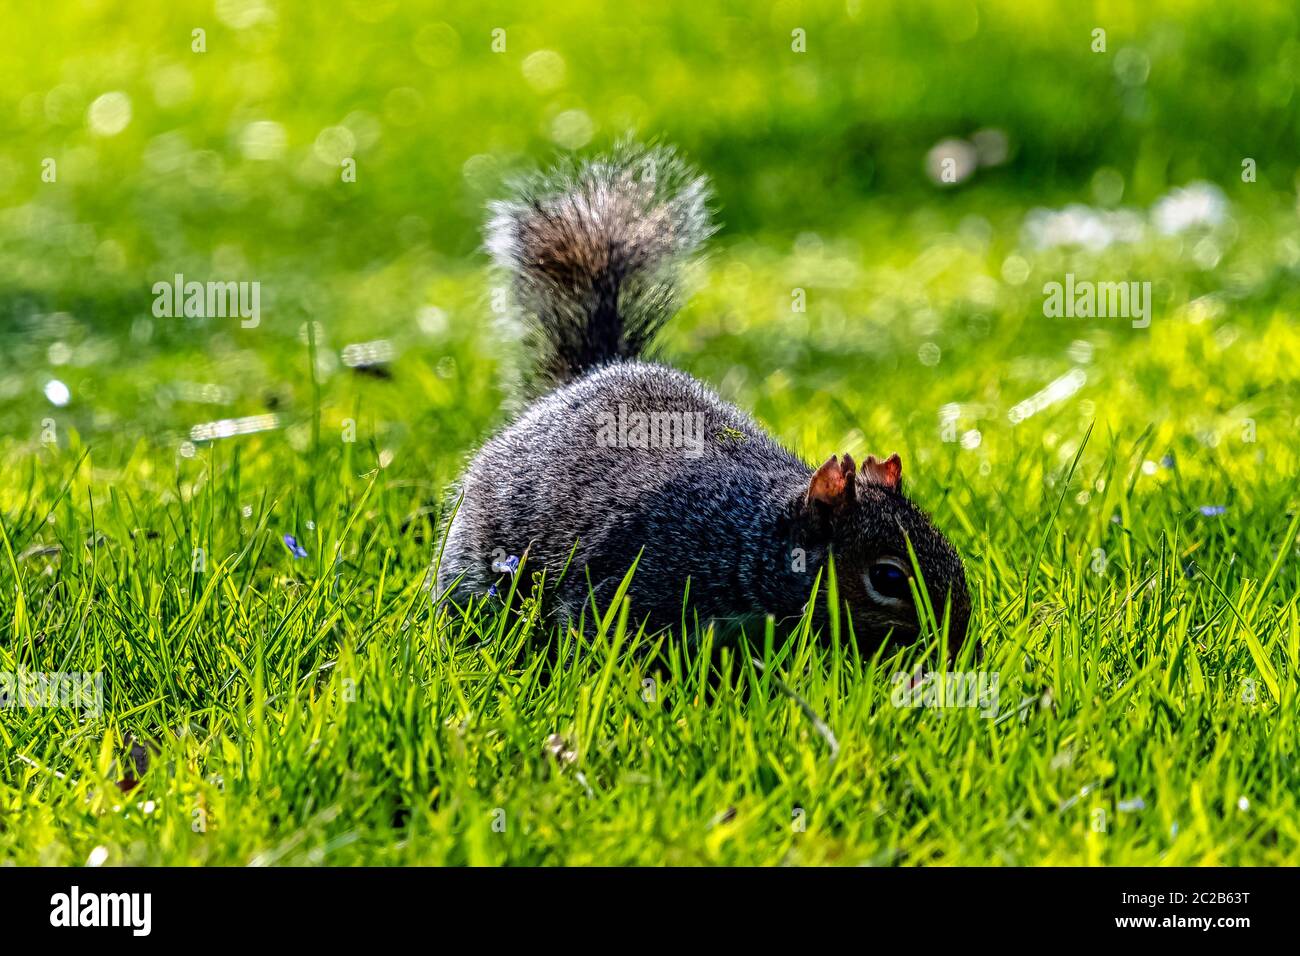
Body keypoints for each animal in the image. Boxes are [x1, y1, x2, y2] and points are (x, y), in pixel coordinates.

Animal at [437, 142, 970, 653]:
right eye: (888, 577)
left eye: (949, 549)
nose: (961, 641)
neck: (750, 542)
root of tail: (589, 374)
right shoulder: (635, 581)